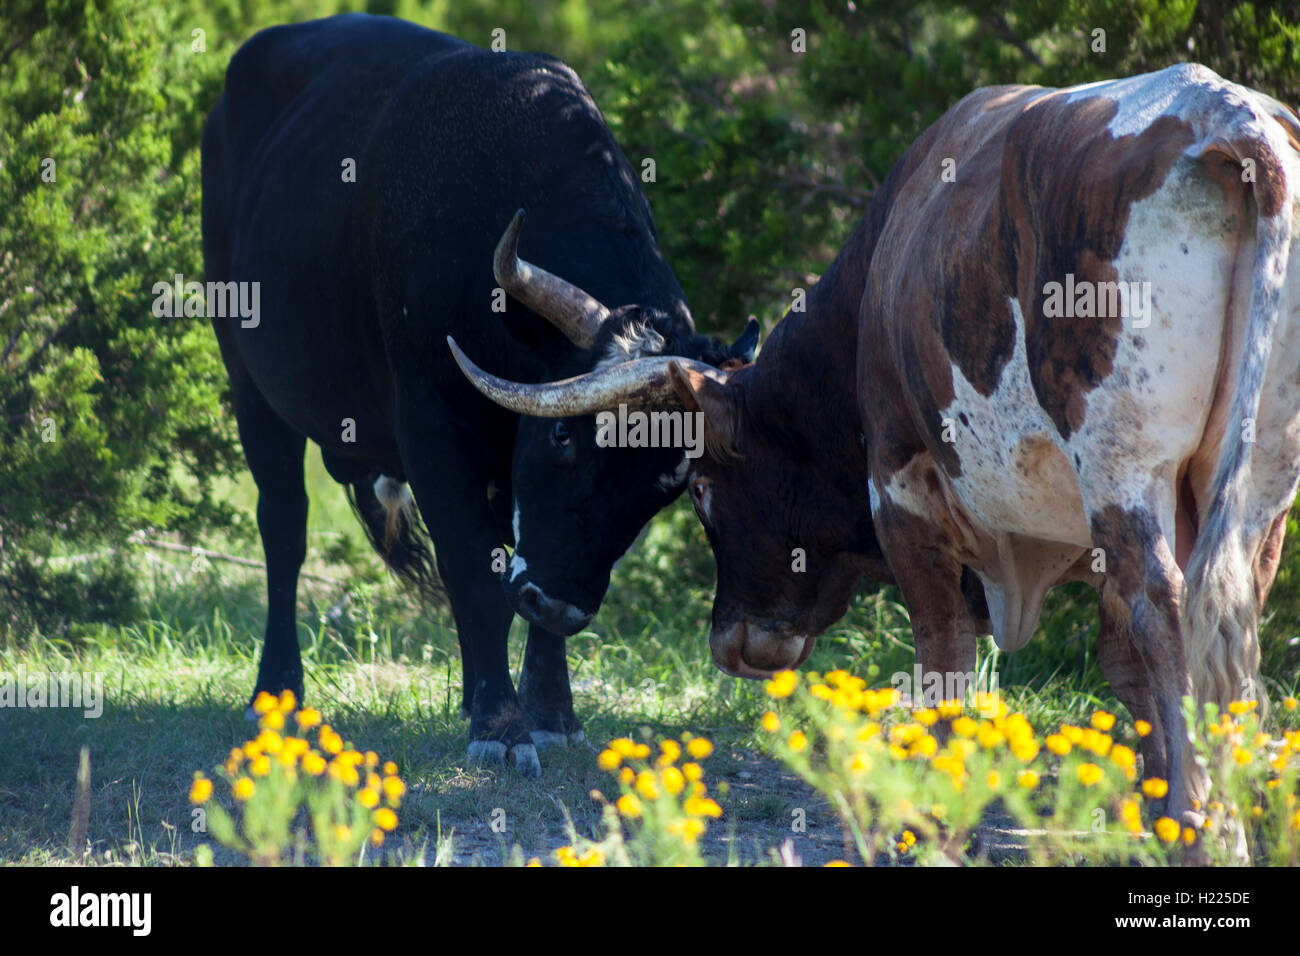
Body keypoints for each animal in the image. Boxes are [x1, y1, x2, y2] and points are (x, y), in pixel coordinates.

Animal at [201, 13, 757, 776]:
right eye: (565, 436)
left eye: (668, 484)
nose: (560, 606)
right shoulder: (432, 427)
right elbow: (470, 566)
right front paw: (501, 726)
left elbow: (507, 574)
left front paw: (546, 714)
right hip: (249, 384)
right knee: (284, 530)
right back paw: (276, 691)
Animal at [454, 63, 1300, 819]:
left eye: (698, 490)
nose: (734, 642)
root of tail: (1230, 124)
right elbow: (1122, 670)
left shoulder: (903, 497)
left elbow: (946, 660)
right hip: (1256, 490)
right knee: (1223, 622)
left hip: (1126, 473)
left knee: (1168, 610)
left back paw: (1197, 822)